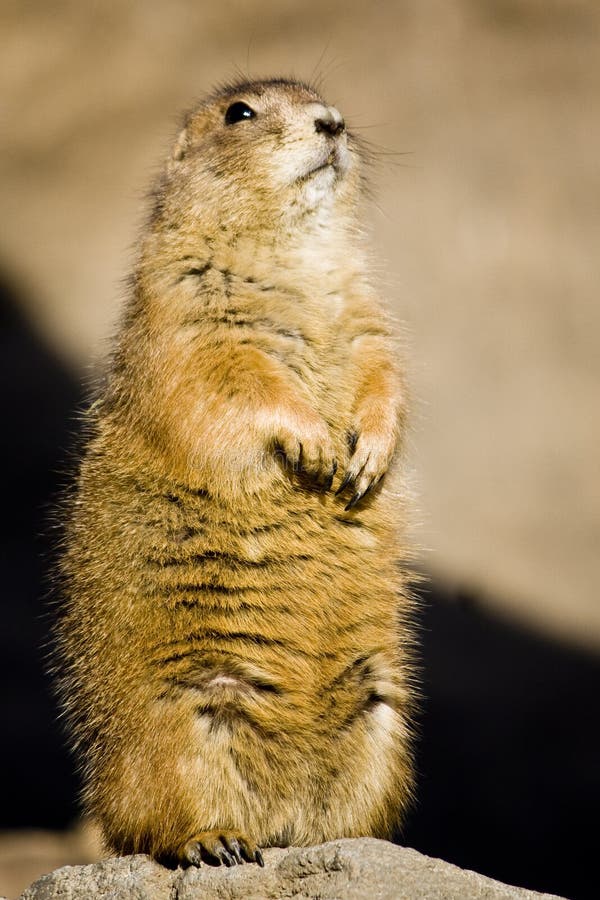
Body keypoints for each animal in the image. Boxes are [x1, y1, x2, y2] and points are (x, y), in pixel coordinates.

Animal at [54, 77, 416, 868]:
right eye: (239, 113)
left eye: (322, 99)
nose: (333, 123)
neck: (296, 256)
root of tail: (279, 821)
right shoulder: (187, 312)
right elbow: (234, 382)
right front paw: (317, 448)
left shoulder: (366, 312)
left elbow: (383, 371)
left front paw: (365, 457)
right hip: (182, 721)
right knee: (152, 824)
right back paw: (215, 842)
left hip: (380, 715)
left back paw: (346, 840)